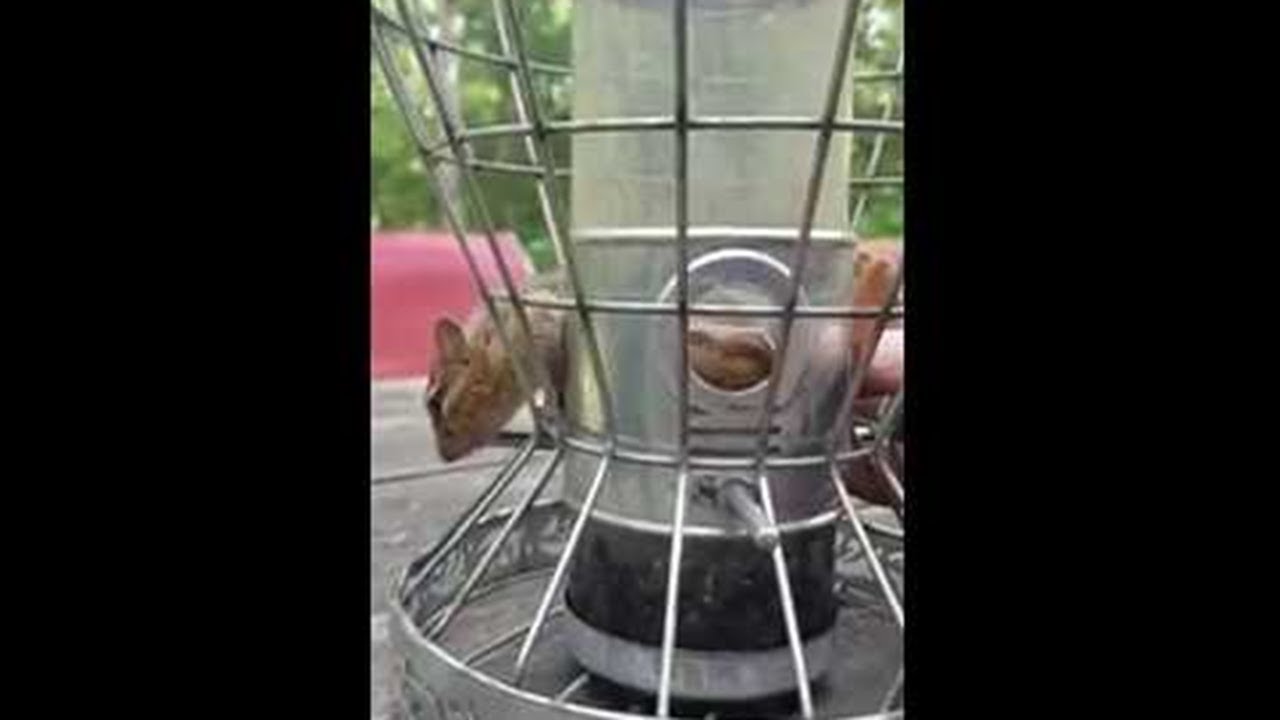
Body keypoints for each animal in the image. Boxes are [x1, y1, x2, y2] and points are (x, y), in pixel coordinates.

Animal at [425, 240, 902, 467]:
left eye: (435, 402)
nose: (443, 456)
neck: (493, 342)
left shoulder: (539, 325)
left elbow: (554, 372)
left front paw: (553, 411)